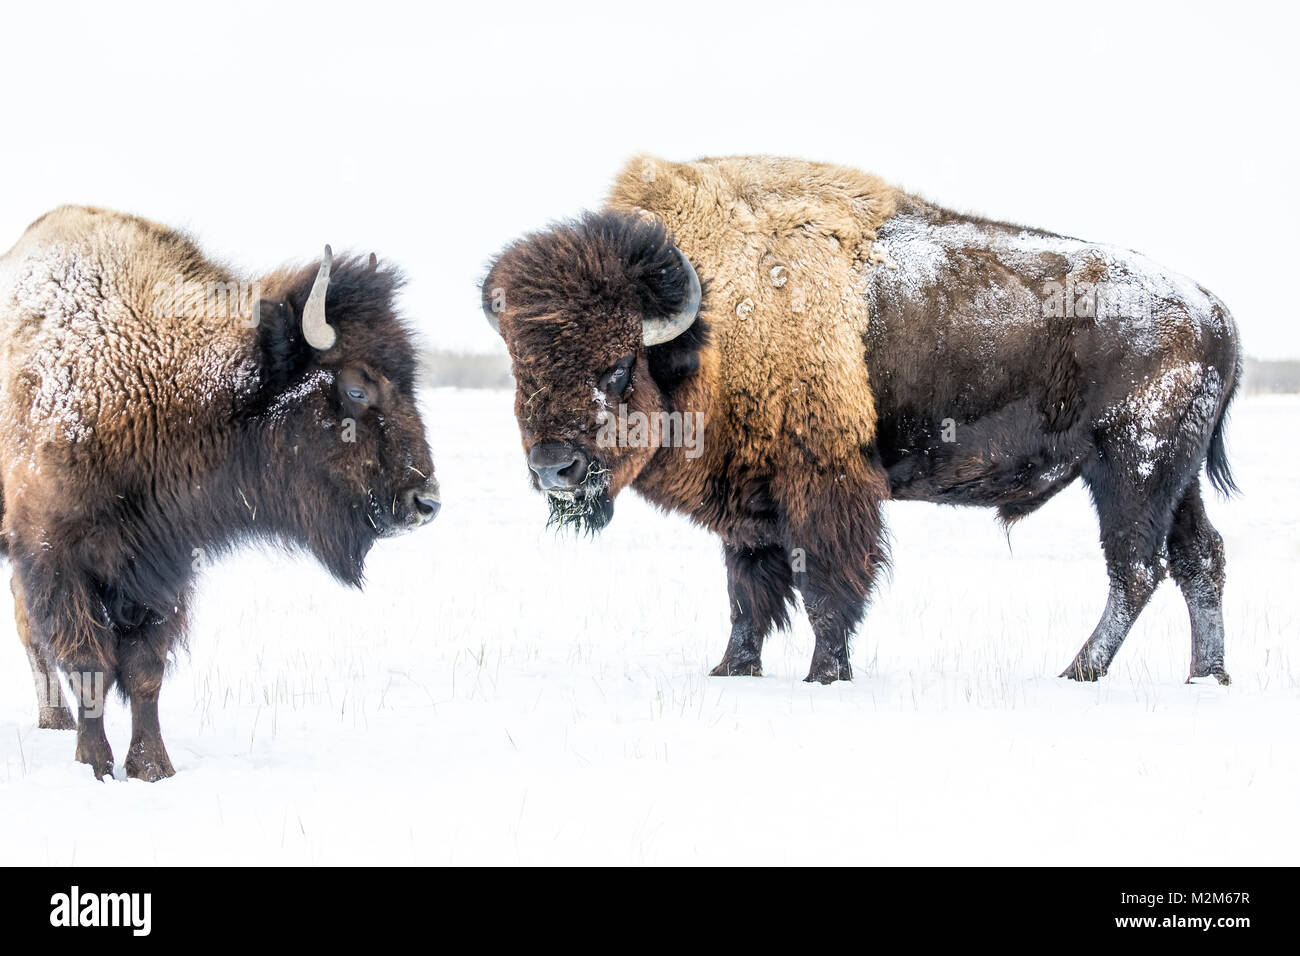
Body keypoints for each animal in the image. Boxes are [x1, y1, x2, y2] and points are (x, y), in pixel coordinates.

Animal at [0, 206, 441, 780]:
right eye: (356, 387)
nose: (425, 501)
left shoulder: (163, 571)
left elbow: (144, 672)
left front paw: (153, 768)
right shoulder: (55, 559)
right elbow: (88, 664)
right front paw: (95, 767)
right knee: (33, 636)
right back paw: (56, 721)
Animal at [482, 155, 1240, 687]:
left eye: (617, 365)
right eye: (521, 365)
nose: (554, 468)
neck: (715, 323)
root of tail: (1211, 308)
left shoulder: (825, 487)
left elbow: (826, 589)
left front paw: (824, 674)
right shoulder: (748, 503)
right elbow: (747, 594)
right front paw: (732, 670)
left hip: (1131, 471)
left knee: (1136, 568)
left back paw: (1079, 670)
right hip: (1175, 480)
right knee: (1199, 560)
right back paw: (1206, 675)